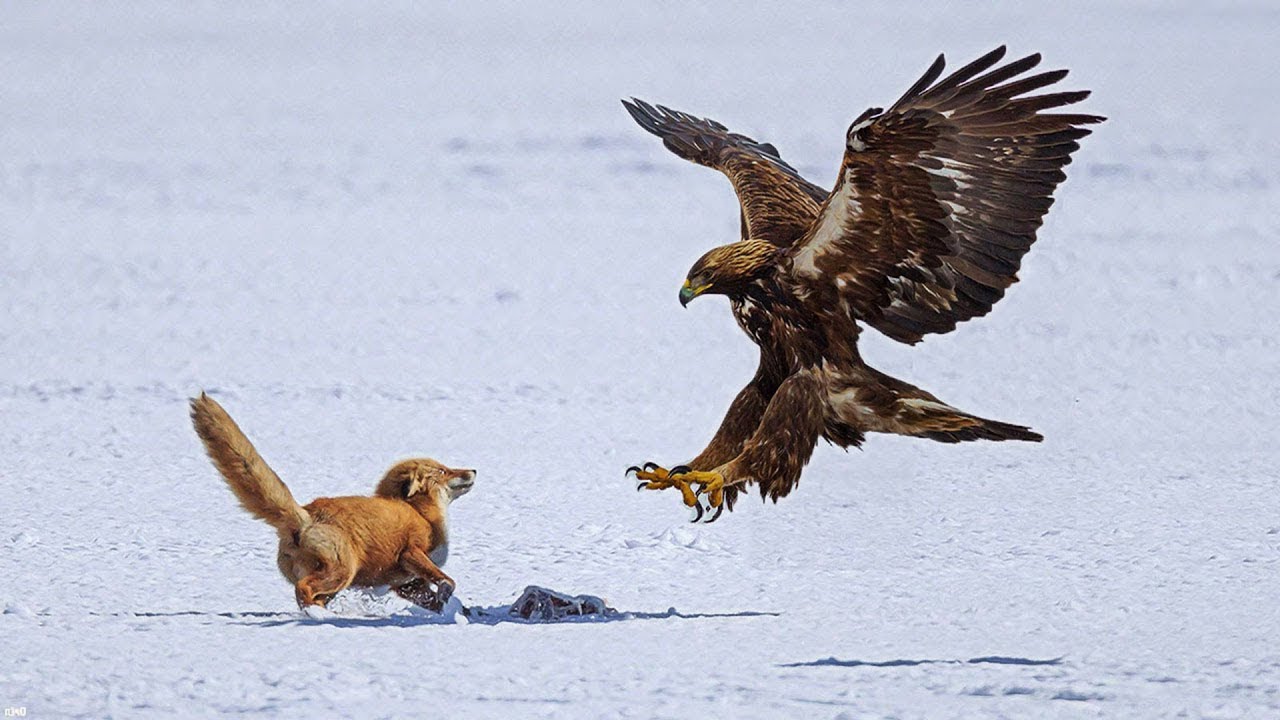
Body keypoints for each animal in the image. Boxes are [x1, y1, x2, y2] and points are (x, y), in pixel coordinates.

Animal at [189, 392, 475, 613]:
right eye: (443, 471)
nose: (473, 470)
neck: (423, 514)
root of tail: (304, 515)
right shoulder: (410, 553)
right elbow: (448, 581)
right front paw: (448, 596)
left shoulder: (405, 583)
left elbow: (435, 599)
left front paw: (457, 614)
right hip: (341, 572)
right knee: (303, 589)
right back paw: (317, 616)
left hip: (336, 581)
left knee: (311, 593)